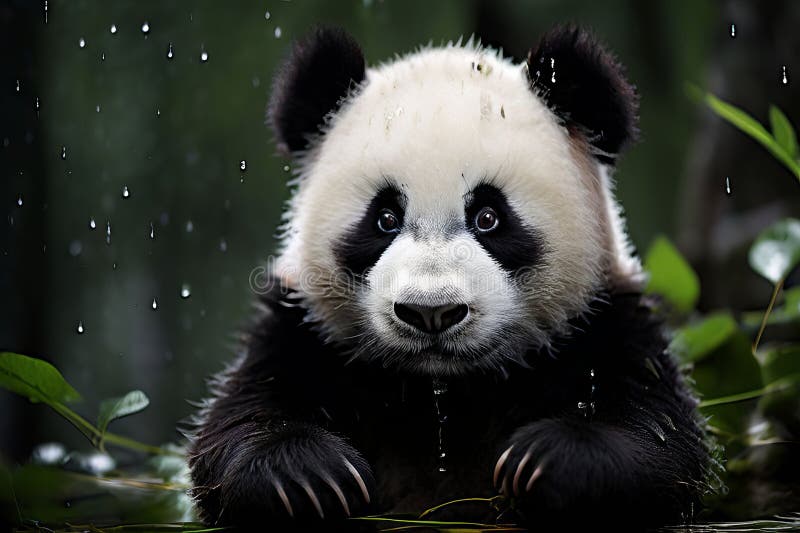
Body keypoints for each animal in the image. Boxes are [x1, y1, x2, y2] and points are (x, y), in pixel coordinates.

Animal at [188, 25, 714, 529]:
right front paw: (306, 474)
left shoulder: (604, 322)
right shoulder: (304, 330)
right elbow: (234, 425)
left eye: (488, 217)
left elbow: (661, 443)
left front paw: (550, 460)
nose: (431, 312)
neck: (443, 395)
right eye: (385, 218)